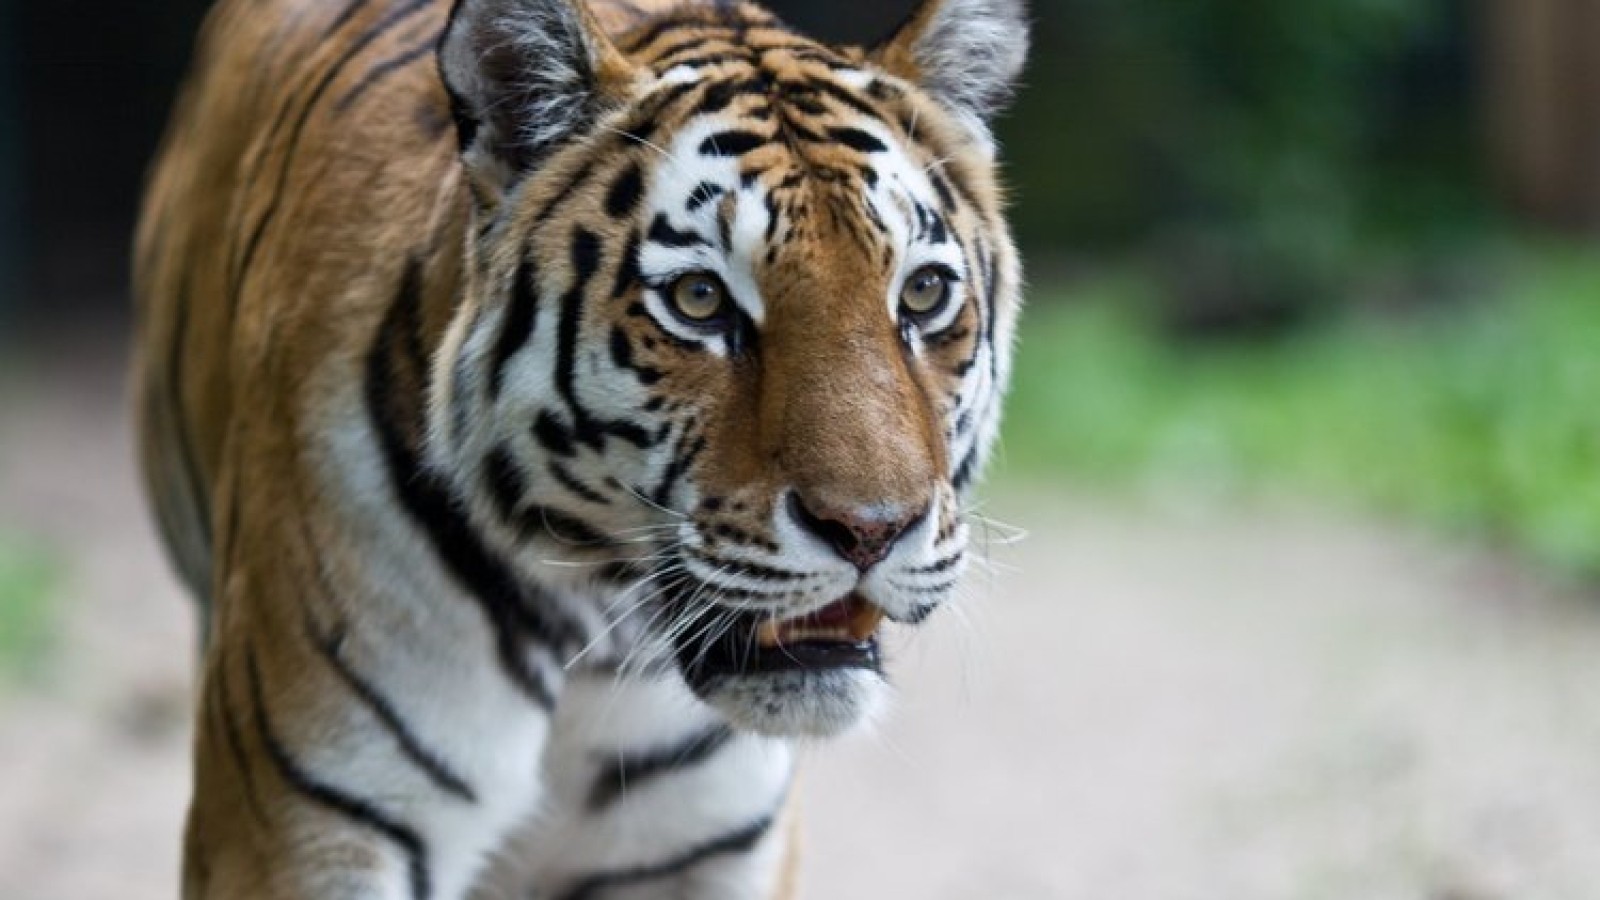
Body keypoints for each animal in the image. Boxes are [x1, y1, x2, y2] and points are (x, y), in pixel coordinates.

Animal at [132, 0, 1027, 896]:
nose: (871, 530)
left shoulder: (712, 847)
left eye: (923, 292)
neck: (598, 632)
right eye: (698, 300)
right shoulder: (309, 833)